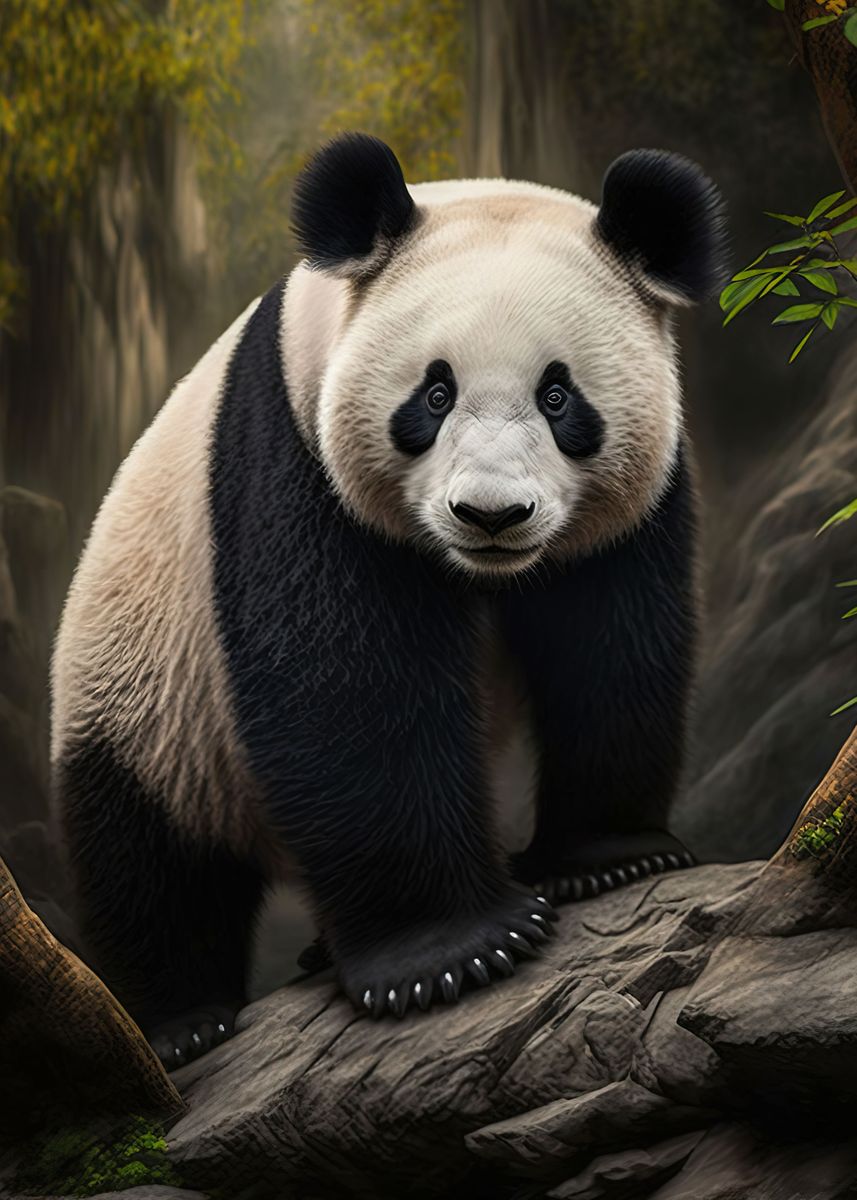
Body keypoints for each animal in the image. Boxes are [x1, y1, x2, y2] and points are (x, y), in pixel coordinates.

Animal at [51, 132, 726, 1069]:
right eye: (434, 393)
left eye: (558, 396)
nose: (490, 514)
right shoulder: (292, 449)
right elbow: (345, 688)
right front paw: (449, 953)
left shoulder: (632, 507)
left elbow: (611, 646)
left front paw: (610, 857)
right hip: (142, 683)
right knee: (144, 852)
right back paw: (182, 1022)